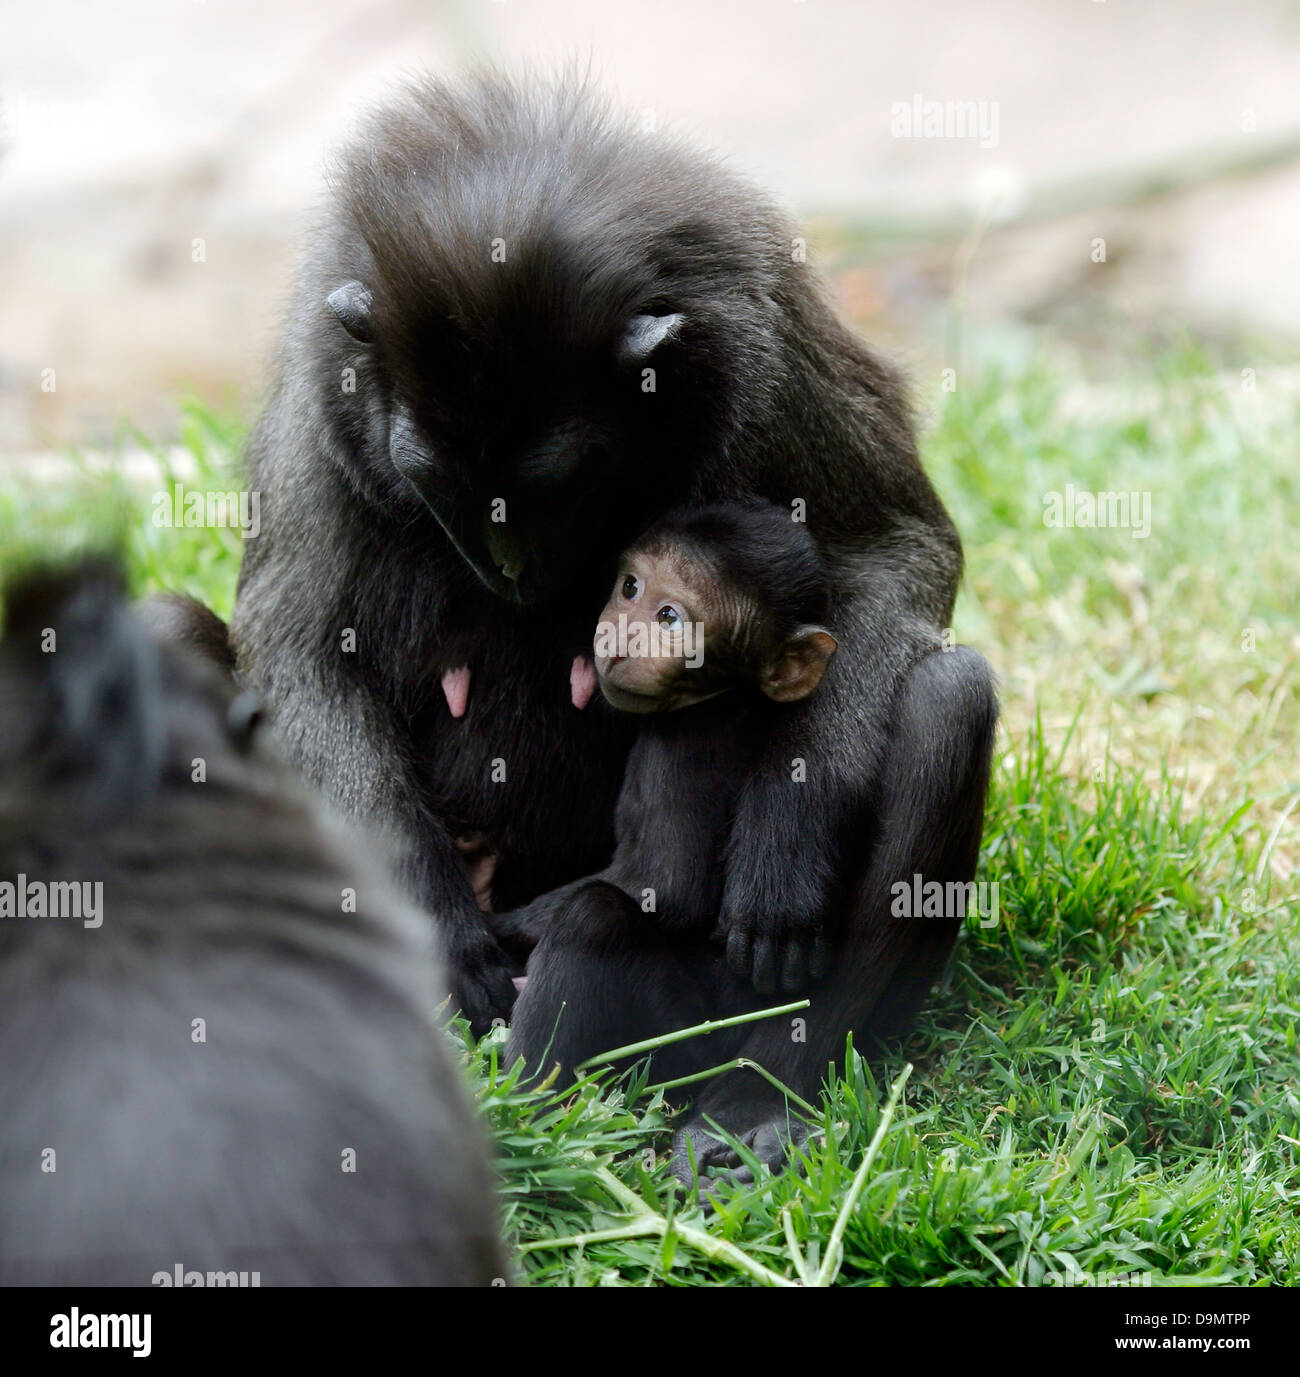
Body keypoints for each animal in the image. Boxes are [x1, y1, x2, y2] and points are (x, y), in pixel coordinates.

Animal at [227, 71, 997, 1183]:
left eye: (557, 484)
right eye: (438, 482)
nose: (510, 567)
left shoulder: (759, 324)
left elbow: (893, 545)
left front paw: (788, 828)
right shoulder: (322, 371)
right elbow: (294, 645)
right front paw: (431, 924)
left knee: (947, 696)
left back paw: (763, 1092)